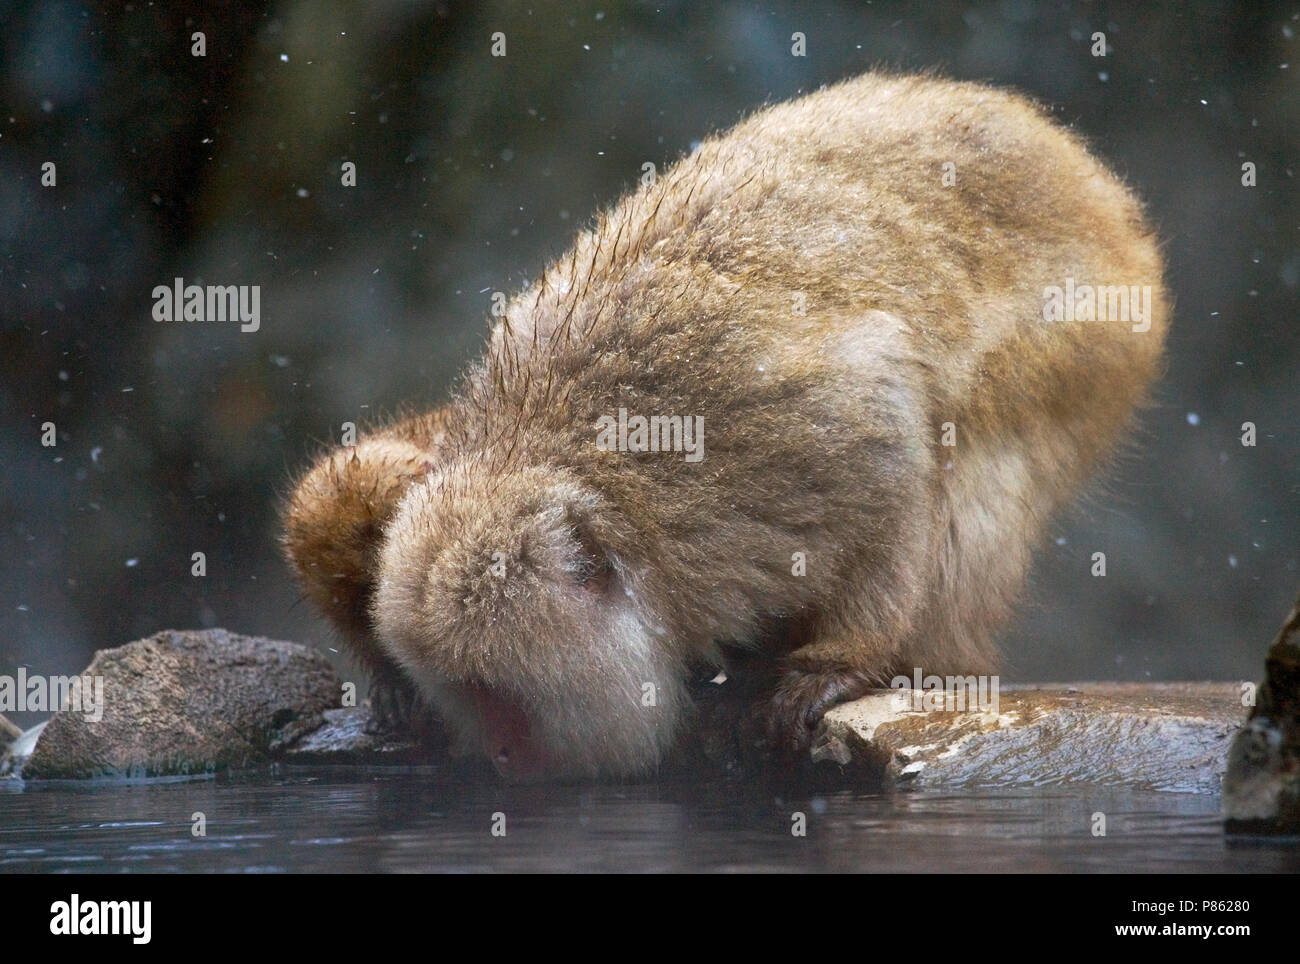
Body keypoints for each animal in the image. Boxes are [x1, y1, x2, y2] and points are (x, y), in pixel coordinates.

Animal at [284, 72, 1169, 781]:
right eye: (465, 695)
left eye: (499, 695)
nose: (501, 752)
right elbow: (336, 500)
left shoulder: (768, 453)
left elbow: (887, 427)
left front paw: (843, 661)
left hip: (1093, 341)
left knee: (974, 440)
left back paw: (925, 663)